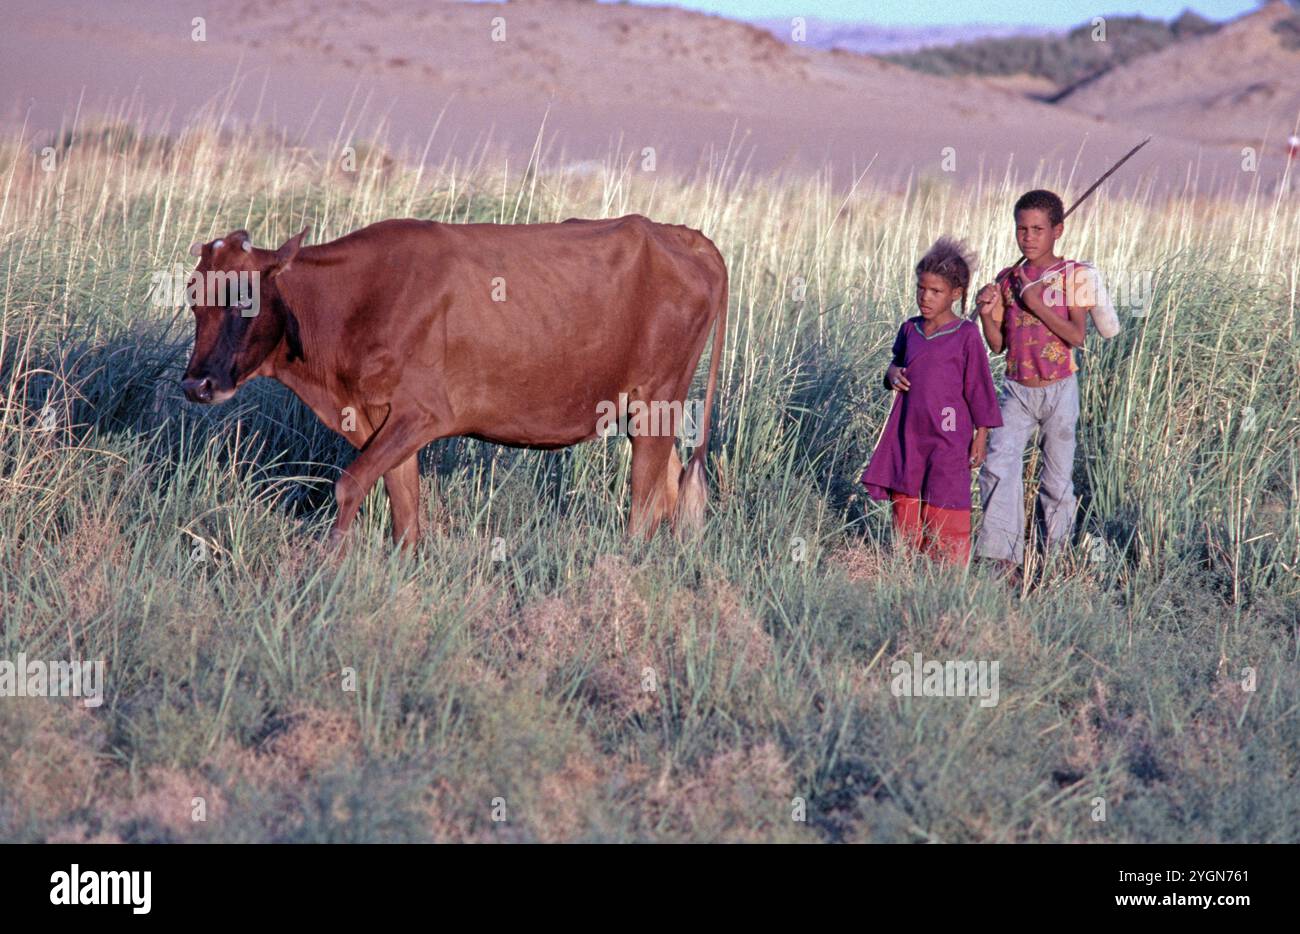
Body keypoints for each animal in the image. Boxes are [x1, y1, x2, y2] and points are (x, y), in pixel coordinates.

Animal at [180, 215, 728, 548]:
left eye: (245, 298)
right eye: (193, 299)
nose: (196, 385)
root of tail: (678, 233)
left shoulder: (422, 414)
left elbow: (349, 484)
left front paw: (326, 567)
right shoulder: (382, 420)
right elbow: (404, 512)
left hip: (657, 397)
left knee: (644, 502)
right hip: (646, 409)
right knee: (670, 488)